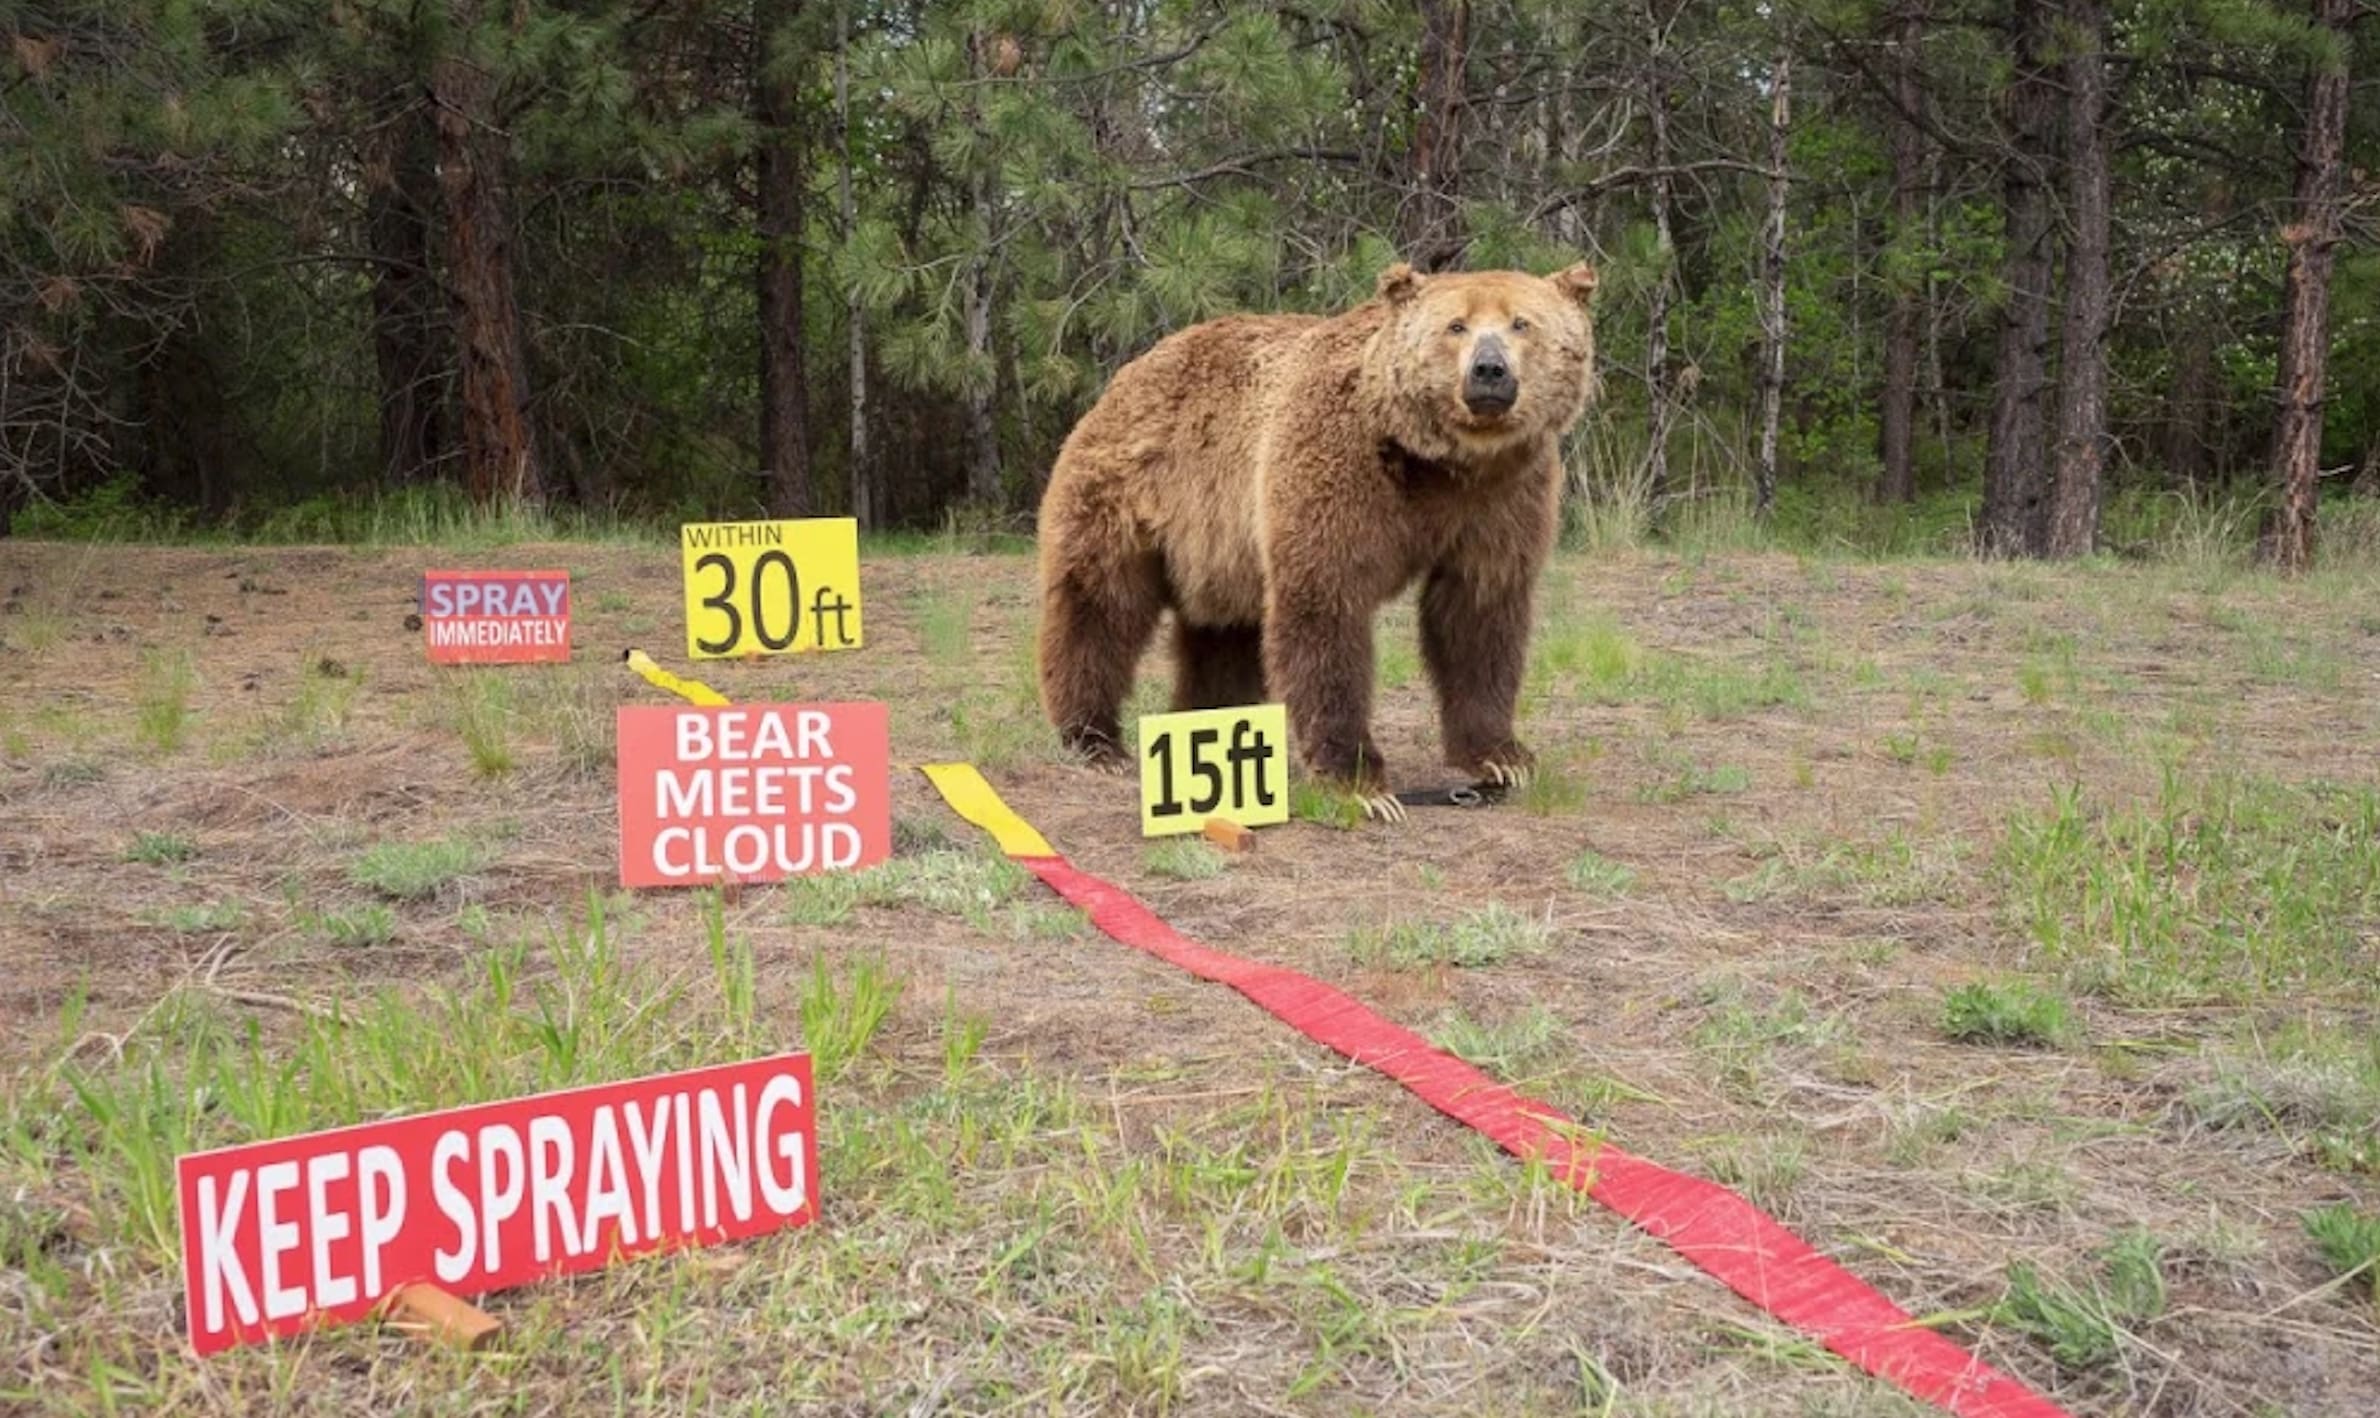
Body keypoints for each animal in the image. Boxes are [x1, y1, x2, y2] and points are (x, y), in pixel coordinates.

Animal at [1032, 258, 1599, 820]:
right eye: (1455, 325)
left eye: (1522, 323)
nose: (1489, 371)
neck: (1442, 463)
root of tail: (1127, 374)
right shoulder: (1339, 466)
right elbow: (1326, 608)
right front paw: (1361, 782)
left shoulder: (1504, 496)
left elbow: (1479, 614)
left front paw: (1503, 757)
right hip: (1133, 492)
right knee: (1101, 606)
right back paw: (1096, 739)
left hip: (1220, 549)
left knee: (1224, 634)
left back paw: (1209, 722)